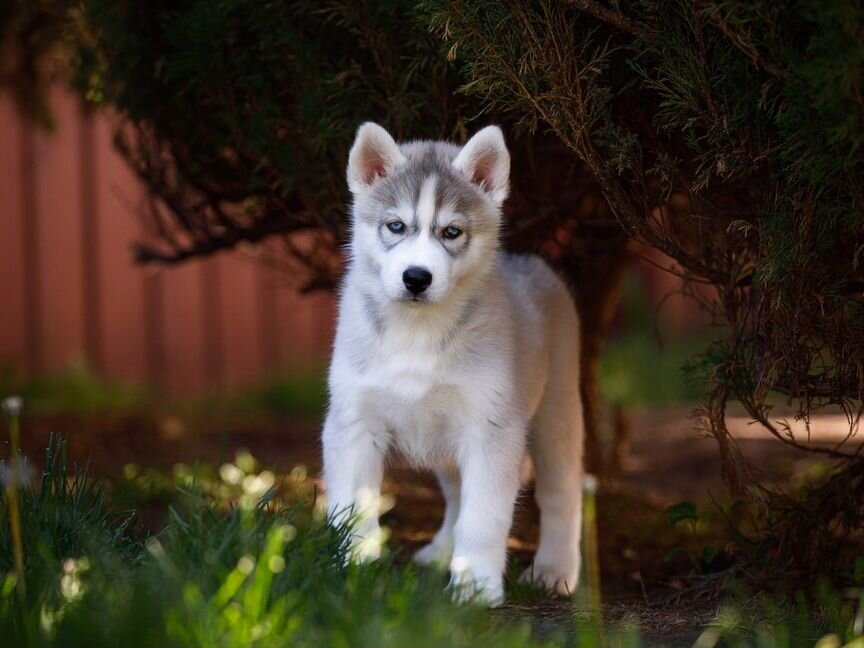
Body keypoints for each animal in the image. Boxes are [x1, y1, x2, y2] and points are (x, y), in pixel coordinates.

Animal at [326, 124, 588, 604]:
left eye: (451, 232)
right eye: (396, 226)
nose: (417, 277)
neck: (416, 333)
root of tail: (530, 262)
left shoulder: (492, 430)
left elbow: (483, 518)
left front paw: (477, 587)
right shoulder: (354, 421)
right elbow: (354, 507)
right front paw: (352, 570)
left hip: (555, 416)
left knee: (561, 495)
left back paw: (555, 570)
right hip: (445, 439)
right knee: (456, 494)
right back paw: (440, 553)